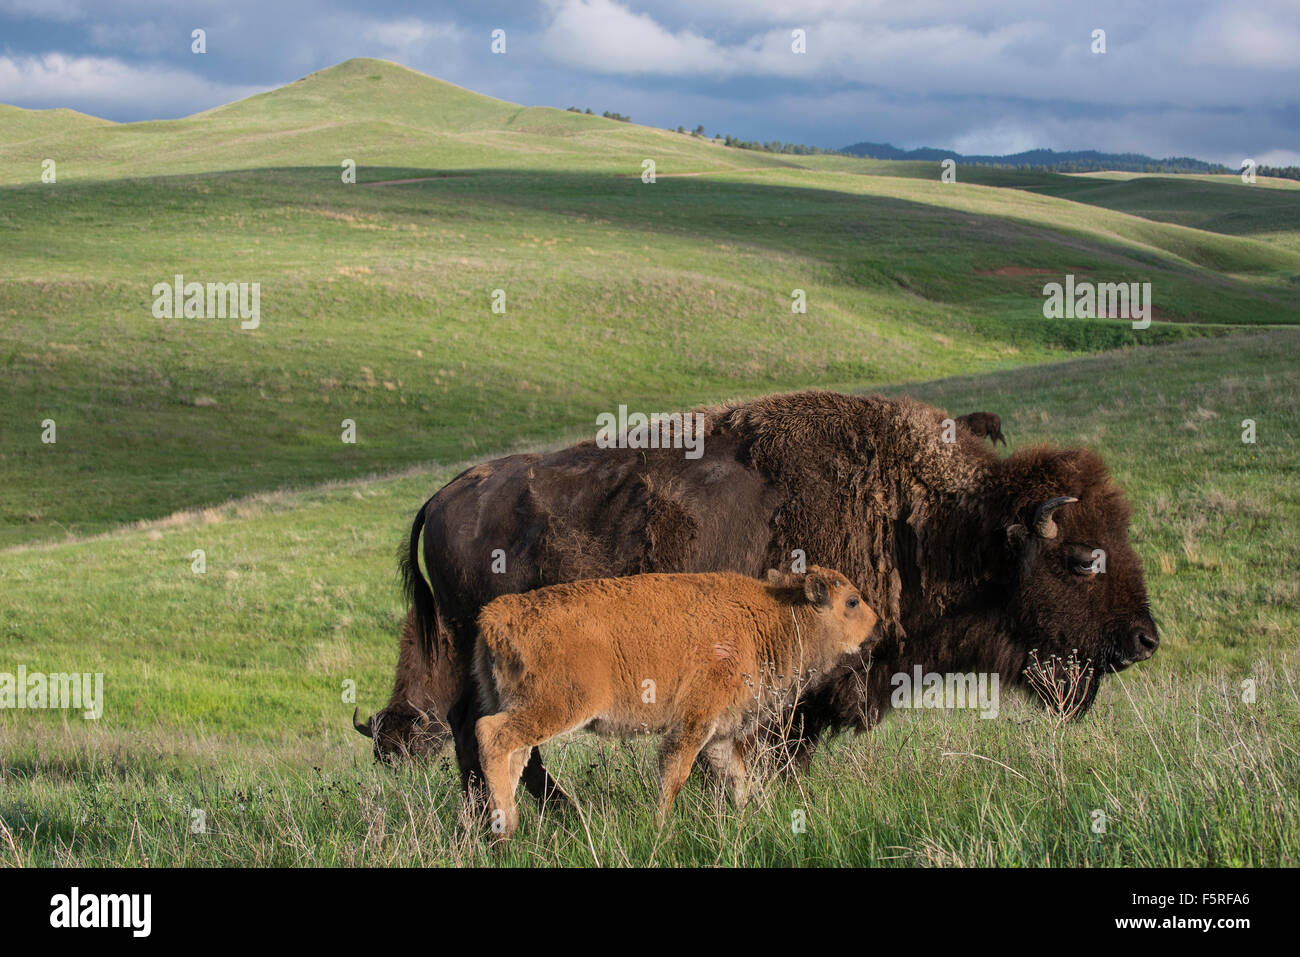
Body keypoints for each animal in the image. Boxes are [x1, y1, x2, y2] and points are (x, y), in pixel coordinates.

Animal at [473, 567, 879, 837]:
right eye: (852, 601)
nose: (877, 628)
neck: (773, 615)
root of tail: (496, 617)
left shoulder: (719, 733)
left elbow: (737, 778)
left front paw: (748, 817)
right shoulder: (694, 723)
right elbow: (675, 774)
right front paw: (661, 828)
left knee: (513, 756)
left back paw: (508, 829)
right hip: (557, 708)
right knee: (490, 734)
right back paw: (505, 830)